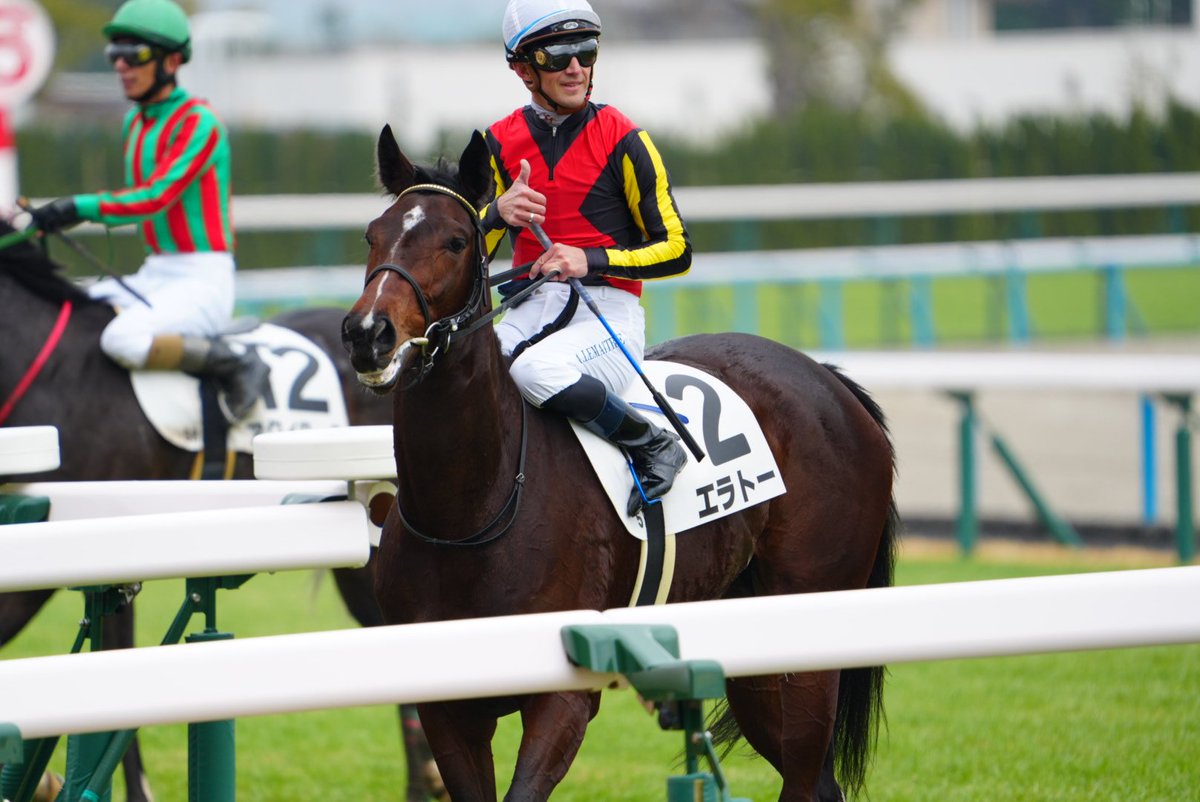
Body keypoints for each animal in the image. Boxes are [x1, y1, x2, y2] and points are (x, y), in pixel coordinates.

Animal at [339, 125, 899, 802]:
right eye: (373, 234)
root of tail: (833, 382)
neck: (472, 510)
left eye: (454, 240)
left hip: (809, 634)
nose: (369, 334)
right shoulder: (446, 709)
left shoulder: (562, 698)